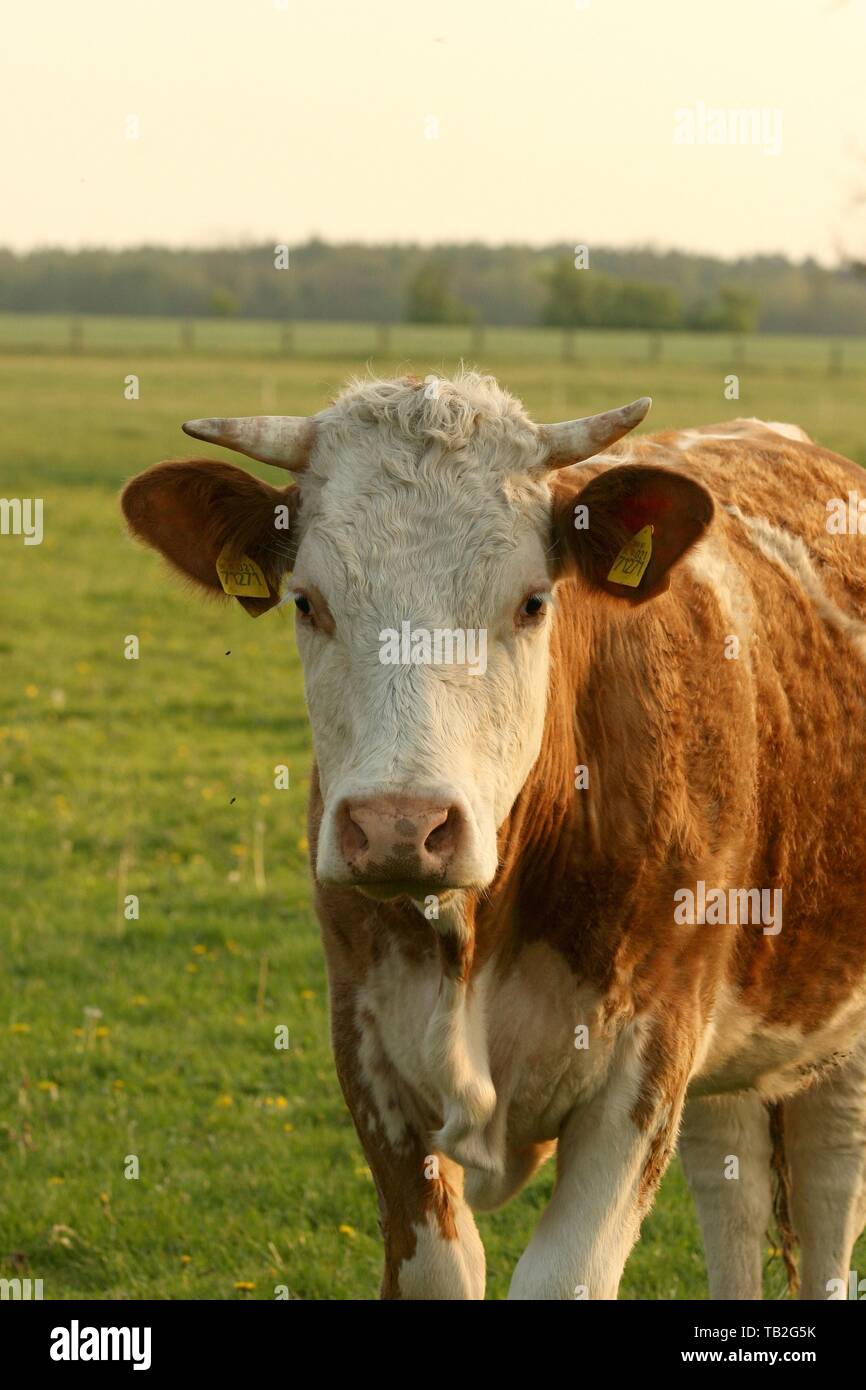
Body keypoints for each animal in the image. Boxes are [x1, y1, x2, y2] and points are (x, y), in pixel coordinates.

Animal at [121, 370, 866, 1300]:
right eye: (308, 602)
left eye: (532, 601)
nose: (400, 825)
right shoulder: (368, 1048)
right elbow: (440, 1267)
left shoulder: (647, 1058)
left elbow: (564, 1274)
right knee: (731, 1184)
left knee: (830, 1183)